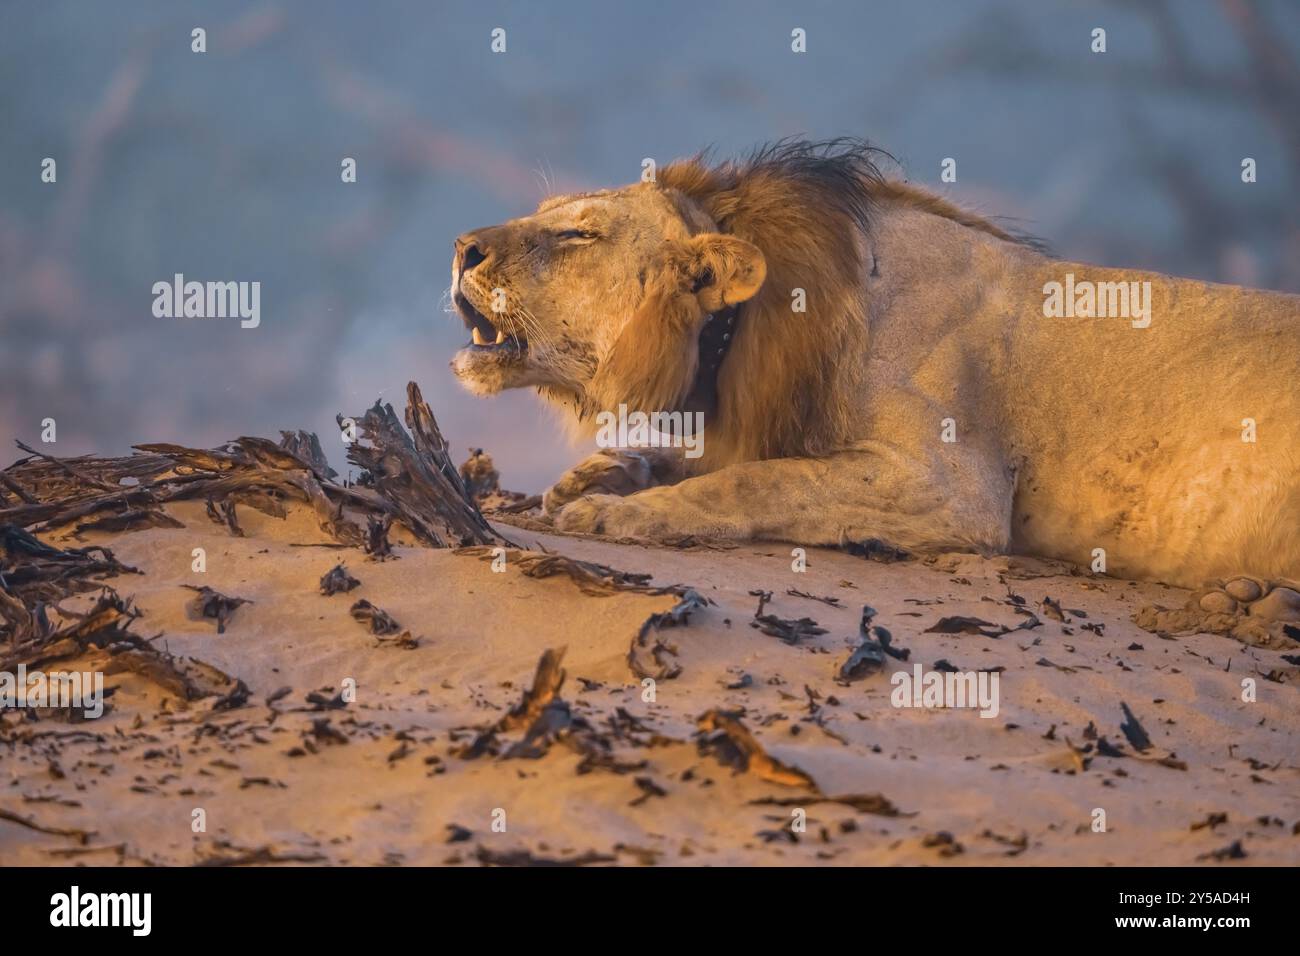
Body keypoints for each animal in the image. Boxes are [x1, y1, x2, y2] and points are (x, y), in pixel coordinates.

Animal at [449, 139, 1300, 626]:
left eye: (576, 234)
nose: (461, 248)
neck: (738, 337)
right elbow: (688, 459)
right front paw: (593, 477)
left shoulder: (953, 487)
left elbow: (757, 482)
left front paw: (614, 515)